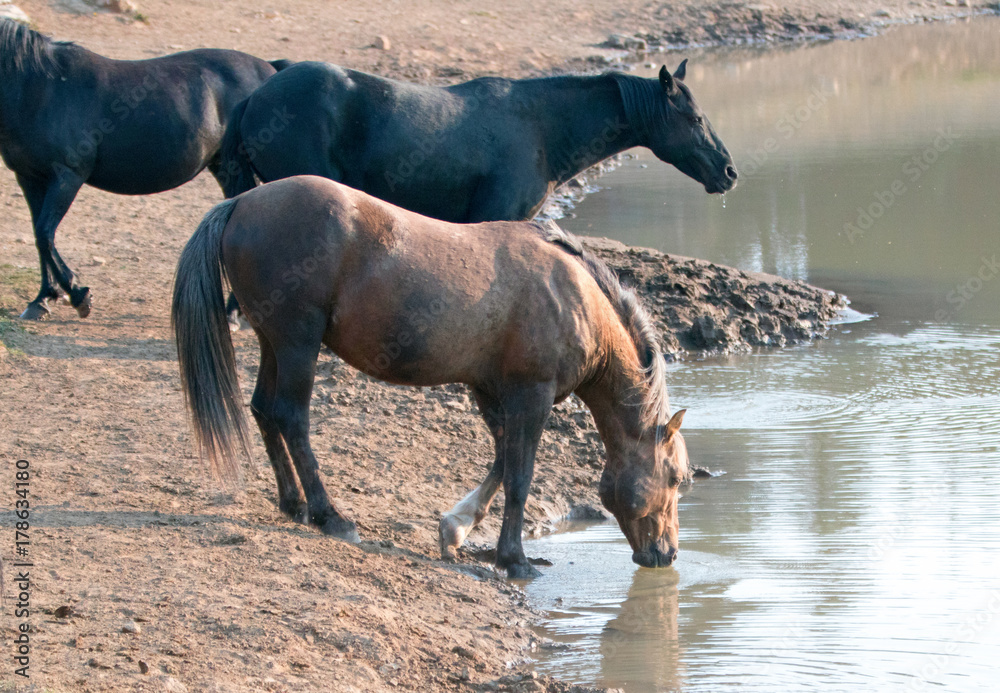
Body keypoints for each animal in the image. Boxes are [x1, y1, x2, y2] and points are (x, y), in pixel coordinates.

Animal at [0, 19, 291, 321]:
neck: (41, 88)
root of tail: (270, 70)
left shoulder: (66, 177)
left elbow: (45, 234)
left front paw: (78, 295)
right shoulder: (30, 178)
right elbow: (39, 236)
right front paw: (42, 299)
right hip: (226, 167)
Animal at [172, 175, 690, 578]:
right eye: (677, 478)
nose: (666, 554)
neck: (572, 293)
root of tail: (243, 202)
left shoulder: (490, 390)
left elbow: (502, 459)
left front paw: (456, 527)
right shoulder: (531, 395)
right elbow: (520, 475)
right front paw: (514, 559)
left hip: (274, 344)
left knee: (264, 410)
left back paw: (293, 504)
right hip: (298, 344)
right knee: (290, 417)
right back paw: (329, 516)